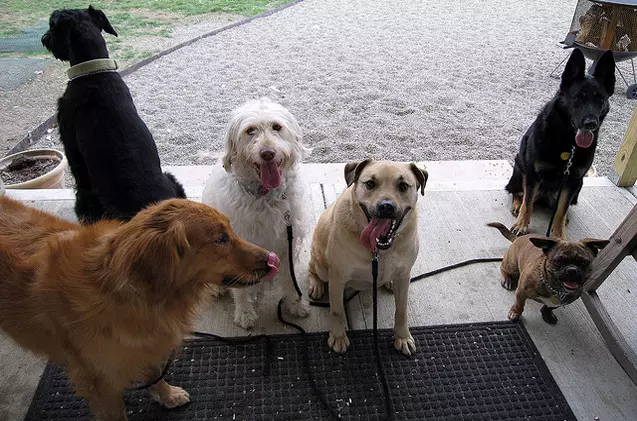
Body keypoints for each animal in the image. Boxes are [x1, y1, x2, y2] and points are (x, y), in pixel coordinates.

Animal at [0, 197, 278, 420]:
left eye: (230, 229)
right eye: (221, 239)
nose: (270, 259)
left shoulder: (147, 342)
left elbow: (154, 372)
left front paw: (167, 395)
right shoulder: (100, 382)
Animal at [202, 97, 312, 328]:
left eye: (277, 127)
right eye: (250, 130)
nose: (267, 153)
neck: (266, 195)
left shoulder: (287, 241)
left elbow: (290, 277)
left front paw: (295, 304)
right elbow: (240, 289)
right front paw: (244, 312)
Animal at [308, 160, 428, 354]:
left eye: (403, 186)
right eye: (370, 183)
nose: (386, 206)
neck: (379, 251)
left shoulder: (404, 276)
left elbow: (401, 310)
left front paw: (402, 337)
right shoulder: (337, 277)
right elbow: (337, 311)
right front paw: (338, 336)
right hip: (321, 264)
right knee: (312, 269)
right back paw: (316, 285)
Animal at [504, 48, 612, 238]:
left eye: (600, 99)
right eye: (578, 98)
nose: (591, 123)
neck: (568, 144)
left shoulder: (572, 181)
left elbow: (561, 211)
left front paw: (559, 235)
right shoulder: (533, 174)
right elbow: (527, 204)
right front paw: (522, 225)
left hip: (579, 186)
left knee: (561, 207)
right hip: (519, 169)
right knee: (519, 193)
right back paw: (517, 205)